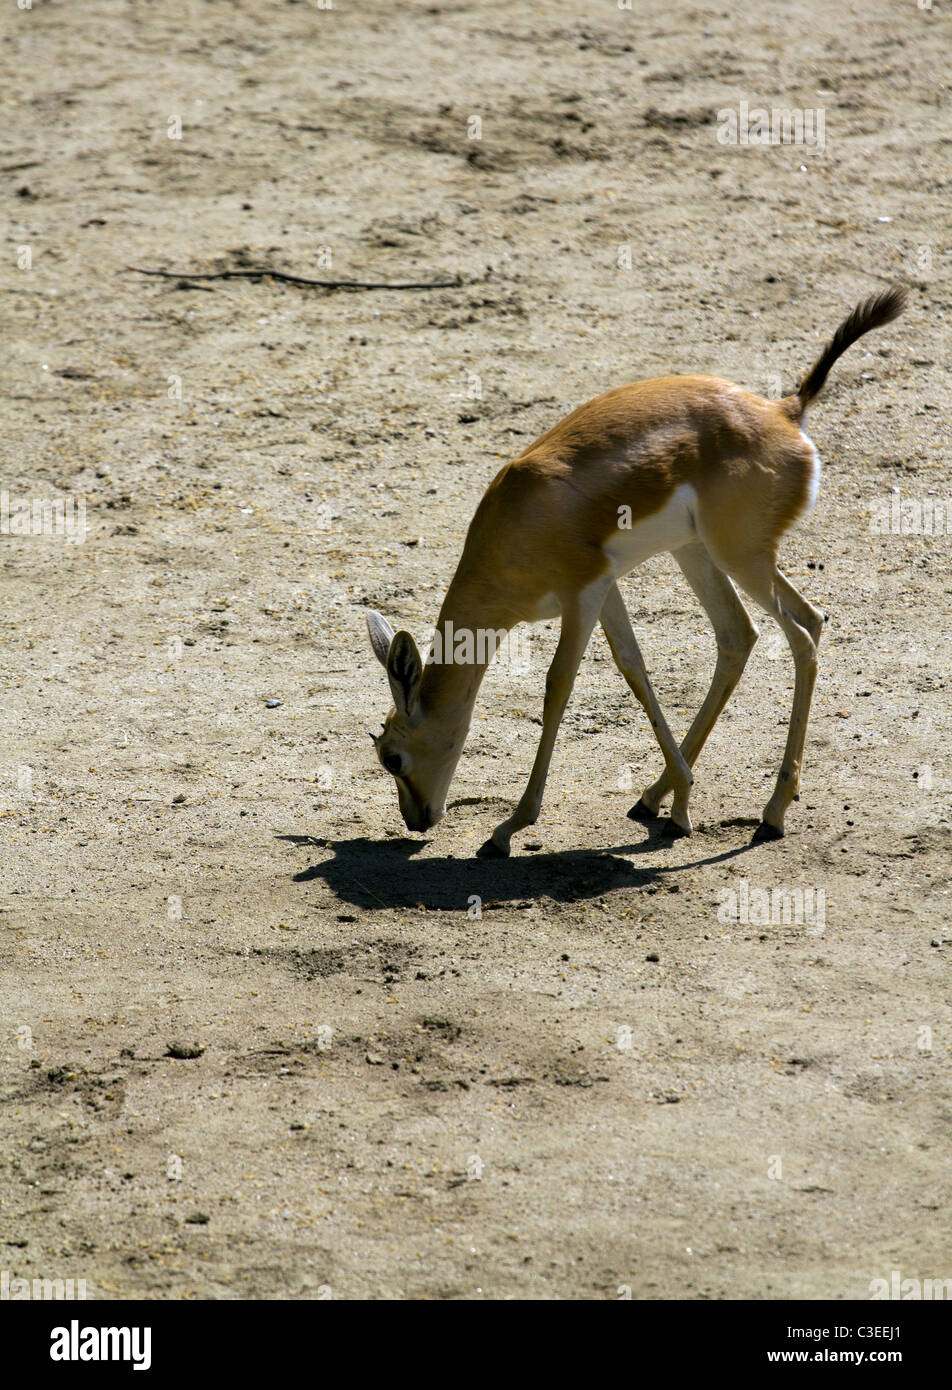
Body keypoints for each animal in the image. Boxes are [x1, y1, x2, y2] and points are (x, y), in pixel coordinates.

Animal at [366, 286, 907, 858]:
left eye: (392, 757)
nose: (415, 821)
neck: (519, 519)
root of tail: (785, 412)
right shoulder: (605, 588)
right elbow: (634, 669)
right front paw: (682, 804)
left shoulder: (582, 593)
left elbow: (558, 686)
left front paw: (508, 829)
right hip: (700, 553)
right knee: (752, 631)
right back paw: (654, 798)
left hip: (739, 556)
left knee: (800, 633)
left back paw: (772, 814)